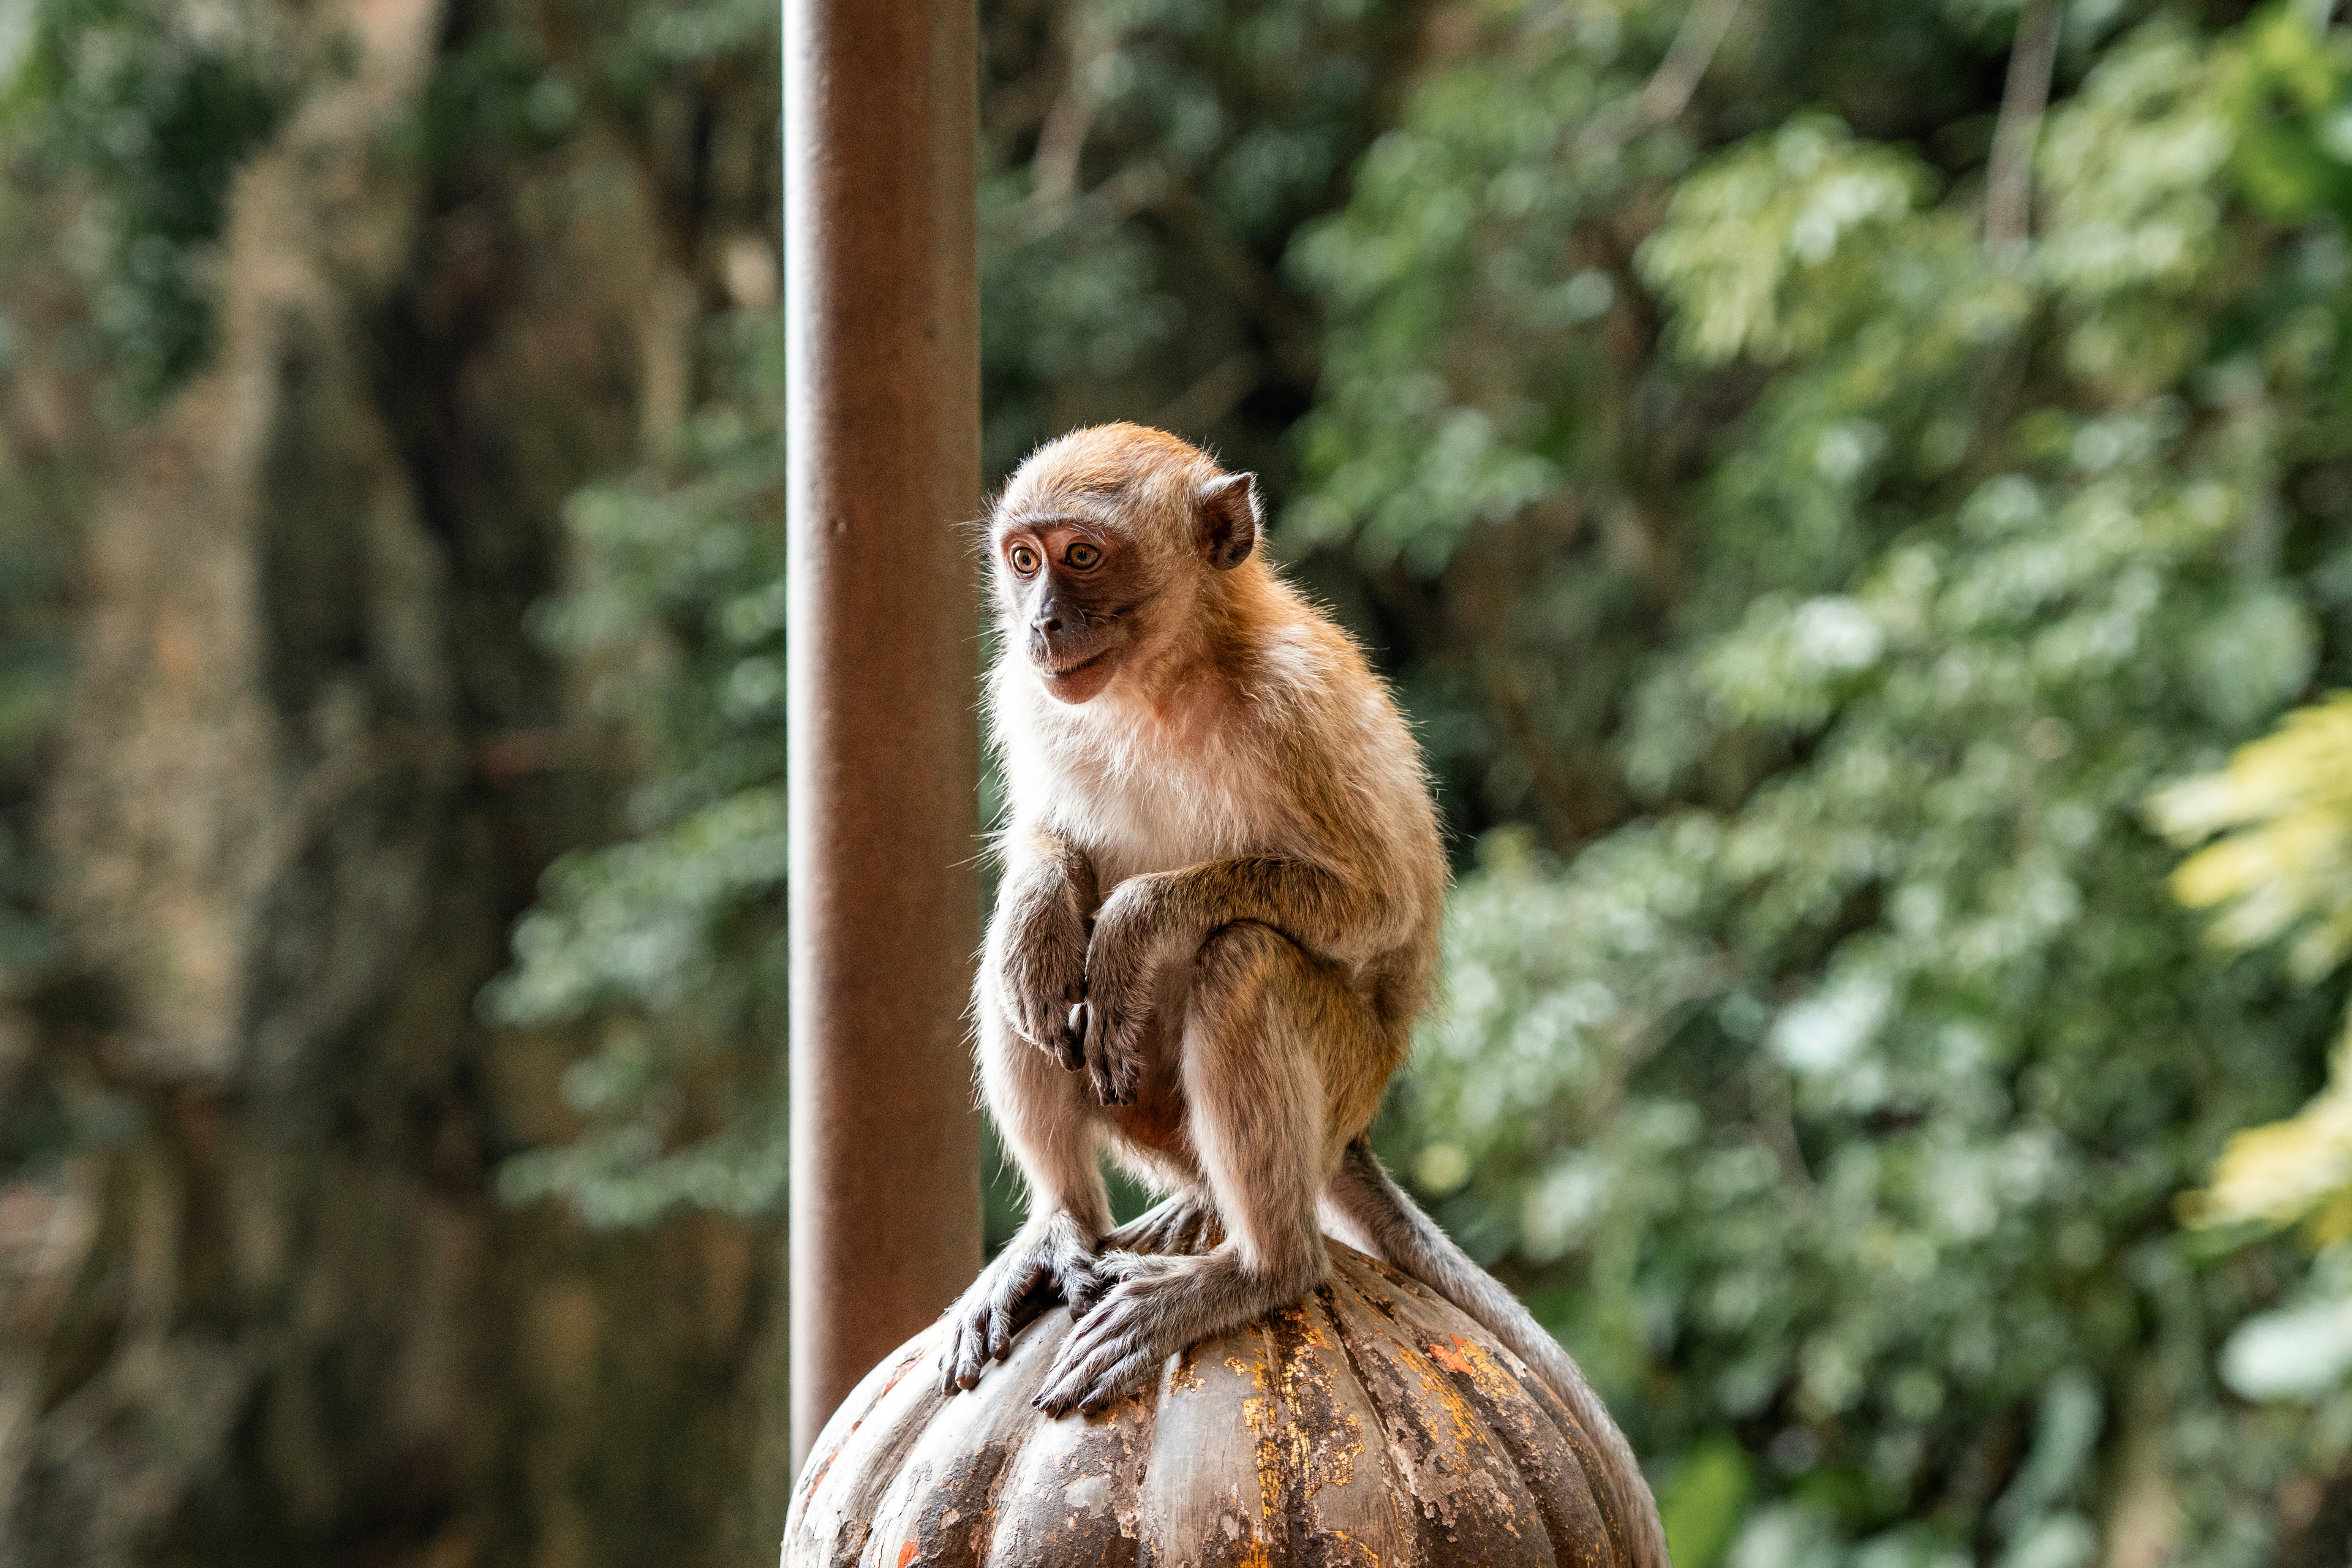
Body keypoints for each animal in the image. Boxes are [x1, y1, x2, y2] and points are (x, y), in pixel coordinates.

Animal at [939, 423, 1668, 1568]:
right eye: (1023, 559)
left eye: (1084, 557)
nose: (1042, 622)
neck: (1162, 683)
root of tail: (1352, 1134)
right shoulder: (1023, 692)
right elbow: (1048, 850)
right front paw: (1044, 891)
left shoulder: (1297, 710)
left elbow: (1379, 906)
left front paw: (1140, 922)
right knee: (1035, 982)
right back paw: (1067, 1224)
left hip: (1337, 1078)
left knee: (1245, 960)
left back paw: (1261, 1267)